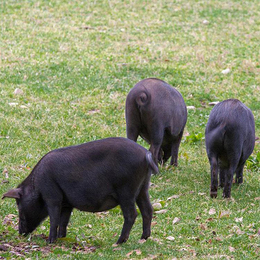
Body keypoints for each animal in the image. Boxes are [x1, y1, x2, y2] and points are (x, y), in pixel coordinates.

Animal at [2, 138, 158, 244]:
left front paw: (50, 241)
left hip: (126, 191)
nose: (20, 233)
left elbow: (54, 219)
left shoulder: (52, 196)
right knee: (148, 210)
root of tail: (146, 154)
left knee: (132, 214)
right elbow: (64, 221)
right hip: (143, 188)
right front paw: (62, 238)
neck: (36, 185)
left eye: (19, 207)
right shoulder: (67, 204)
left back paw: (119, 242)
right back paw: (143, 238)